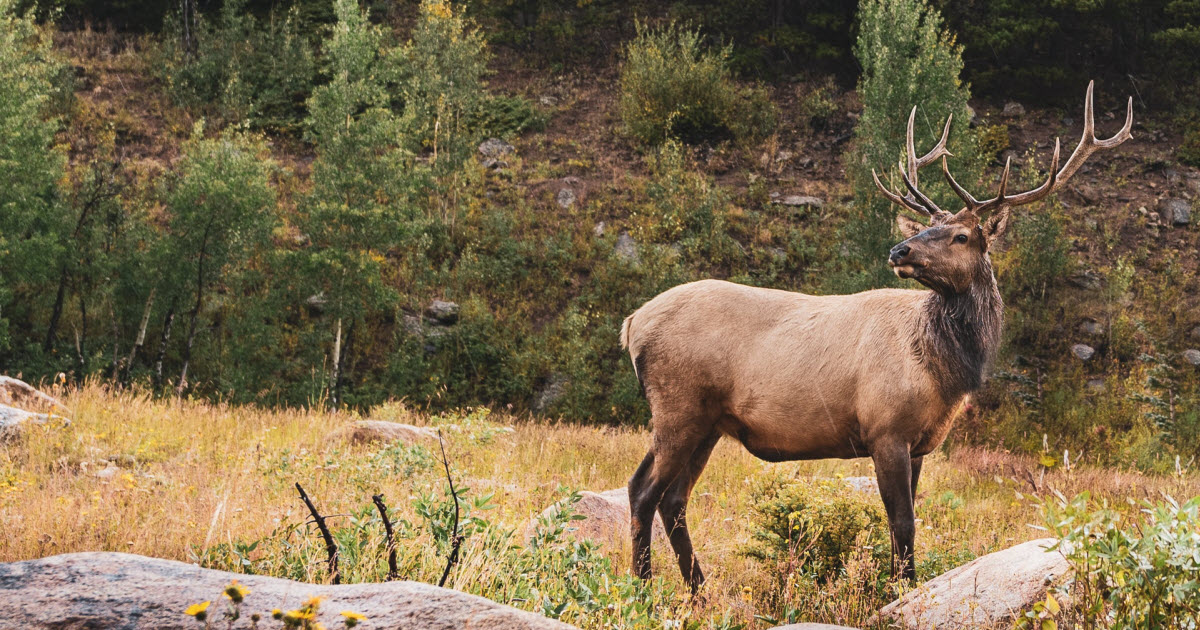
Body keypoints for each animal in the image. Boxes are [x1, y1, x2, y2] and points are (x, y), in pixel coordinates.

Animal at [620, 81, 1132, 590]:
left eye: (961, 236)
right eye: (929, 227)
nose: (899, 249)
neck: (943, 371)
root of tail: (632, 324)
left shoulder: (919, 442)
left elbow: (898, 523)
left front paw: (896, 585)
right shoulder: (885, 428)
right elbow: (903, 523)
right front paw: (902, 590)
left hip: (708, 421)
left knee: (674, 499)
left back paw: (699, 591)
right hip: (679, 405)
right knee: (643, 490)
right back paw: (644, 587)